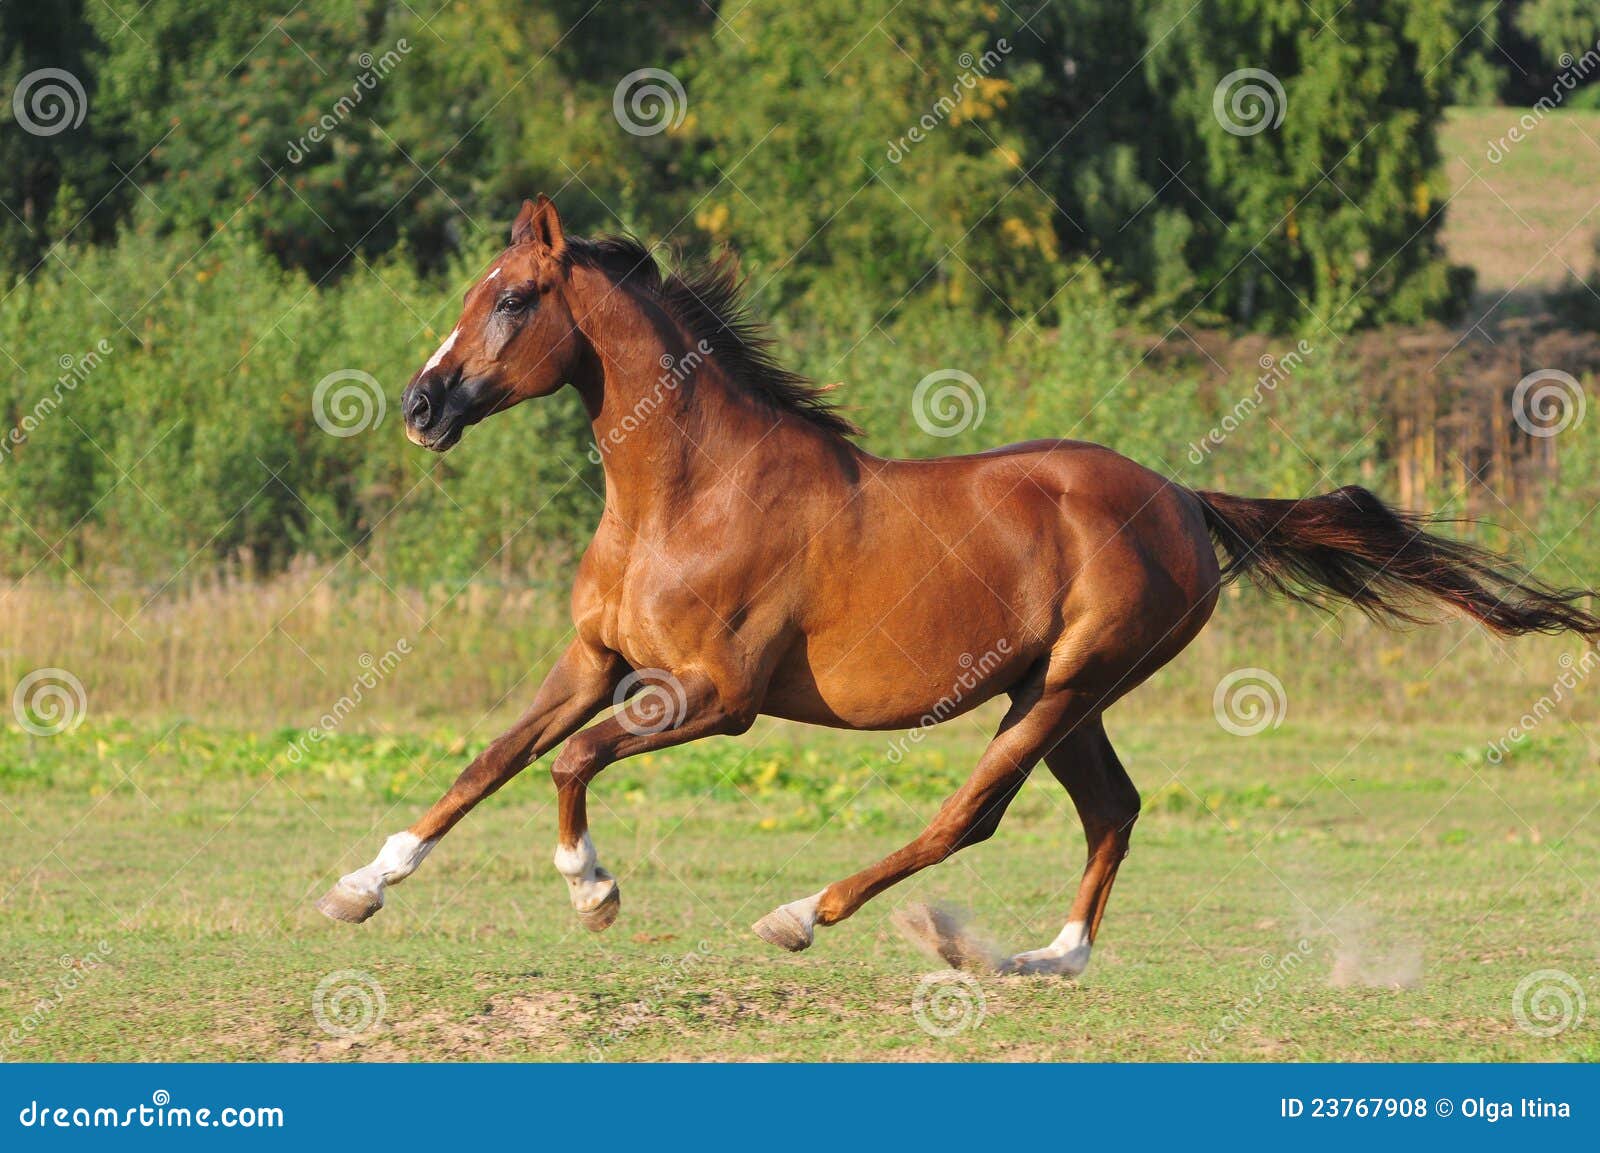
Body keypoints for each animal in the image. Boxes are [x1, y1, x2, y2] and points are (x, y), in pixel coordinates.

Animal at [317, 195, 1600, 976]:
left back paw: (810, 916)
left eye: (513, 300)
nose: (421, 408)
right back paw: (1044, 959)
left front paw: (593, 892)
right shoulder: (595, 660)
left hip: (1067, 685)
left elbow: (570, 764)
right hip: (1060, 695)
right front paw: (358, 887)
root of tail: (1184, 499)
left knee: (971, 813)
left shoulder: (714, 698)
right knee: (1111, 809)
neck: (682, 495)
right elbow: (492, 758)